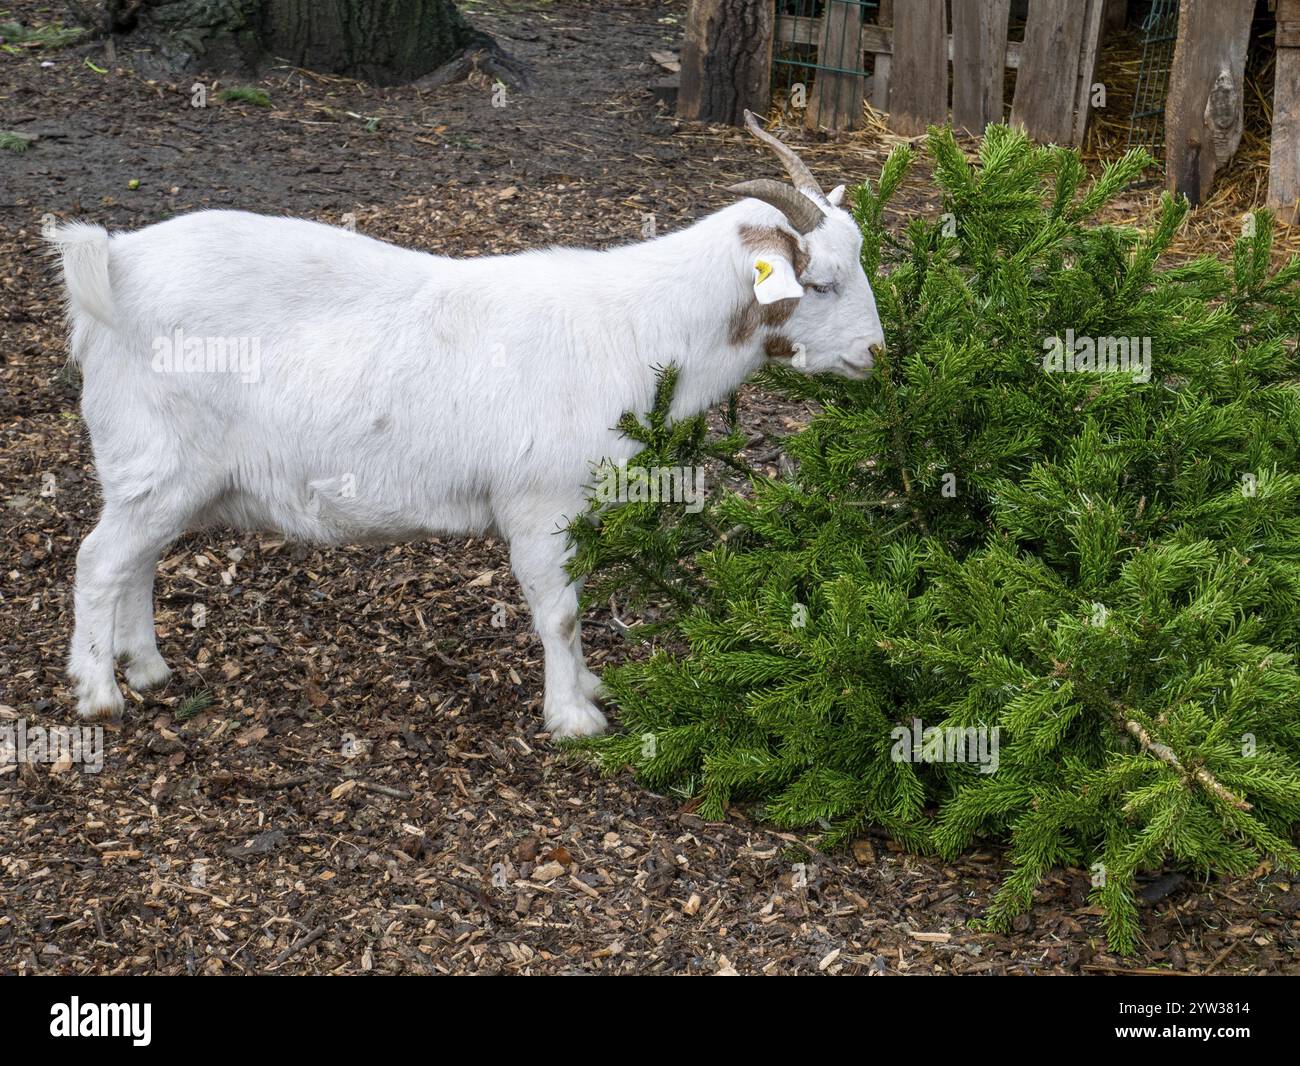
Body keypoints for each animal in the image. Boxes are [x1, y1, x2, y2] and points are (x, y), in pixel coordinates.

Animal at [50, 112, 885, 738]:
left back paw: (148, 668)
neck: (636, 327)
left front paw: (590, 686)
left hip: (168, 476)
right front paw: (573, 719)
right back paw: (99, 692)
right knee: (99, 561)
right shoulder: (541, 503)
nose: (876, 353)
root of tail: (115, 263)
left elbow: (576, 604)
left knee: (137, 560)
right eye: (821, 281)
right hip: (157, 461)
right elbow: (560, 612)